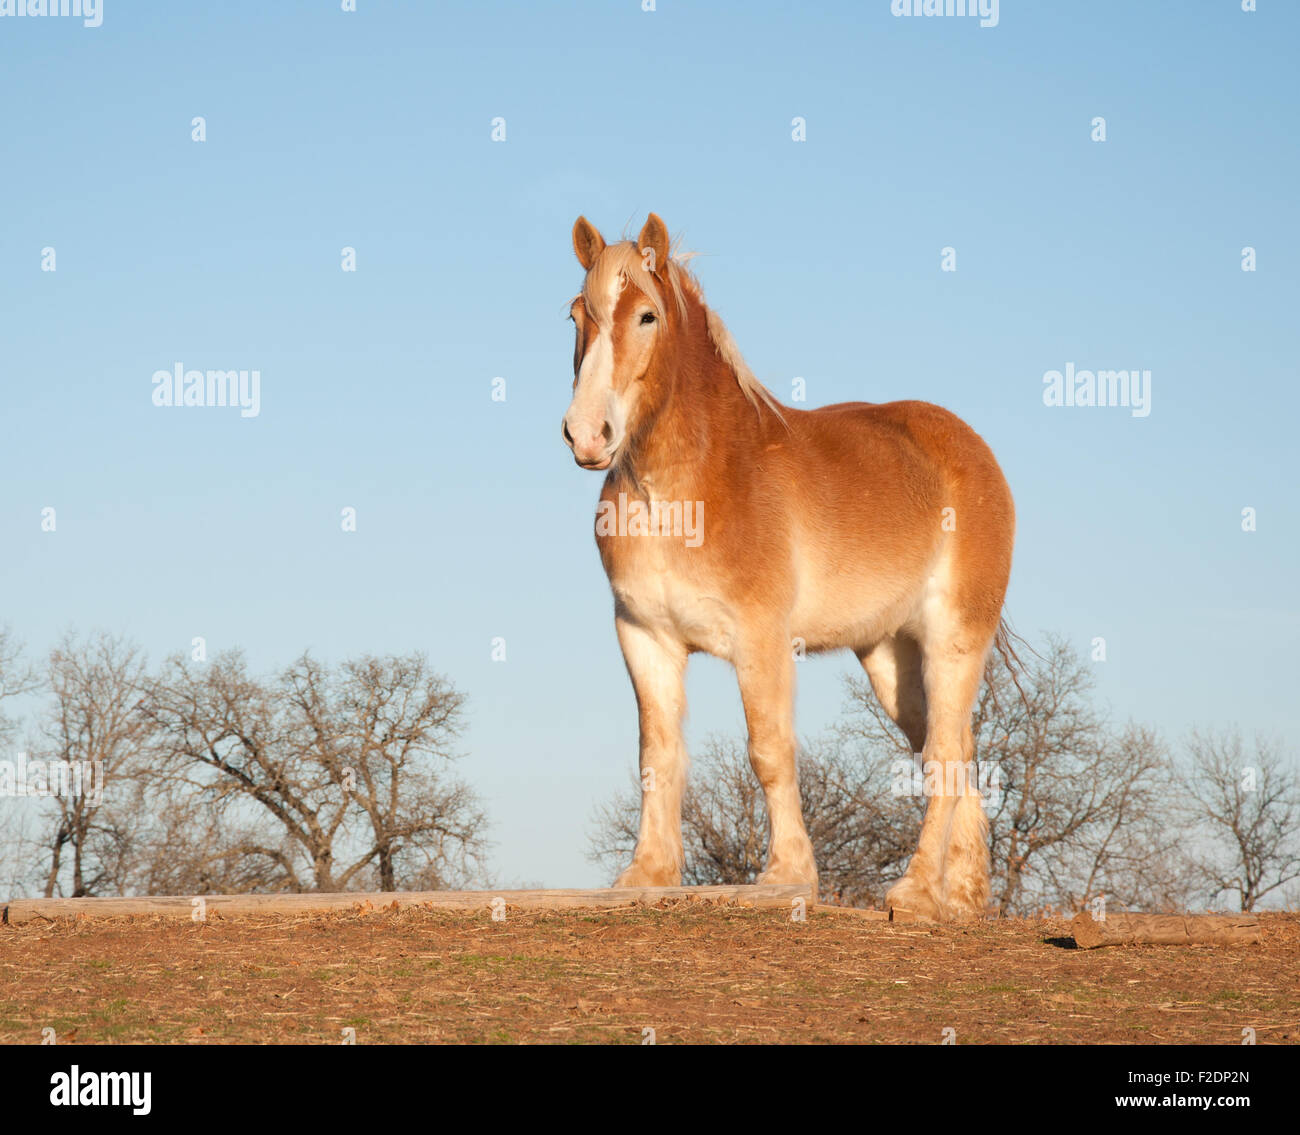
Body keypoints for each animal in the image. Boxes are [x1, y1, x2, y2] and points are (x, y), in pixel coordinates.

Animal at [561, 213, 1015, 920]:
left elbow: (769, 750)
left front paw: (788, 874)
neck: (692, 486)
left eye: (646, 316)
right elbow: (657, 755)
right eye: (575, 315)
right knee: (956, 752)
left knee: (943, 755)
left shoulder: (762, 640)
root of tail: (971, 451)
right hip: (891, 655)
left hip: (954, 640)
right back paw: (961, 899)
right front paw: (647, 873)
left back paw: (914, 893)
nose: (587, 435)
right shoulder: (645, 637)